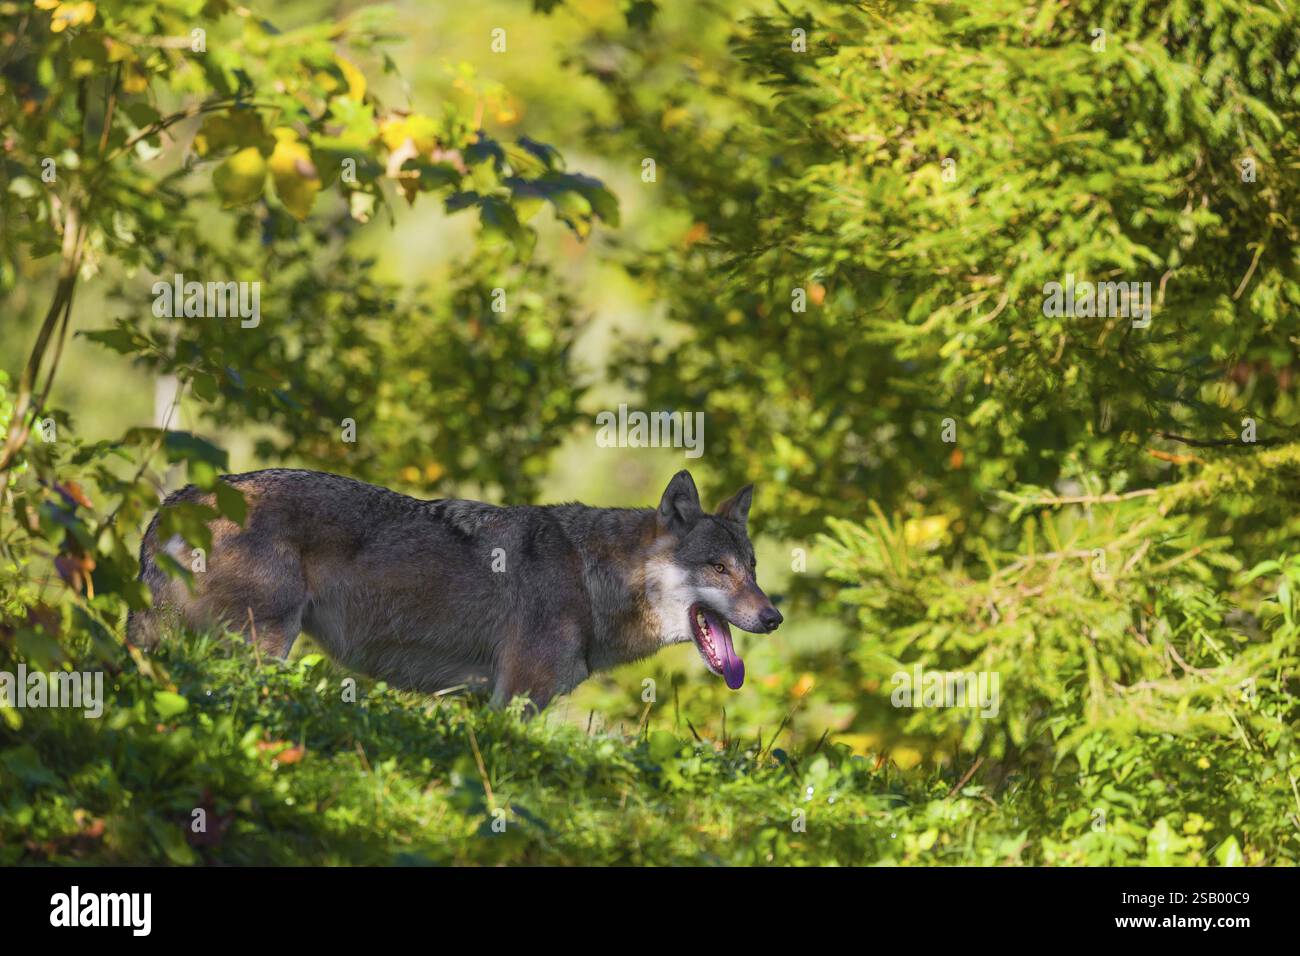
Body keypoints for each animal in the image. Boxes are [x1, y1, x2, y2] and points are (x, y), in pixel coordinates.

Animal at [127, 469, 782, 710]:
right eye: (718, 568)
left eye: (751, 568)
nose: (774, 617)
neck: (589, 574)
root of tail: (179, 498)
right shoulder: (515, 698)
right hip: (261, 645)